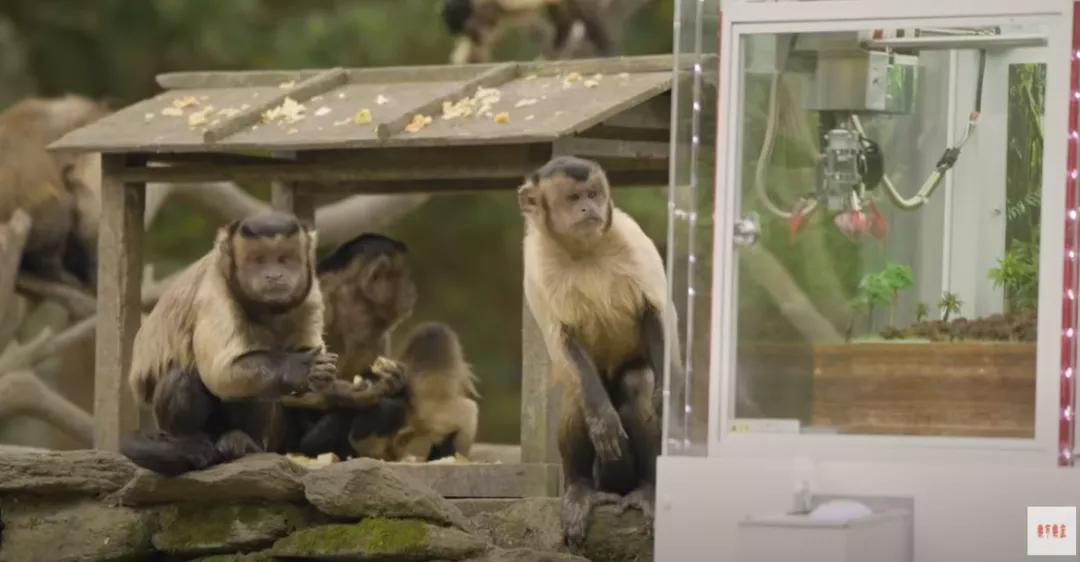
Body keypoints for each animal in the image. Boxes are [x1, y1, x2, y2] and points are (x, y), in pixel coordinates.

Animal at [120, 211, 350, 476]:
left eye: (283, 259)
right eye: (259, 260)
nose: (273, 275)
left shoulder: (310, 293)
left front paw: (320, 375)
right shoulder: (214, 295)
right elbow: (219, 373)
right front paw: (301, 367)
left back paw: (243, 442)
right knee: (184, 376)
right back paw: (192, 444)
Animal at [518, 155, 676, 547]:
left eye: (593, 194)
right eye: (574, 198)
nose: (589, 208)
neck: (583, 250)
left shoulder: (632, 238)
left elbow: (652, 314)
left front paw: (665, 396)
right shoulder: (537, 261)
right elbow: (564, 340)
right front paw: (603, 420)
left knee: (637, 382)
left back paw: (648, 489)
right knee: (579, 396)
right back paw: (581, 488)